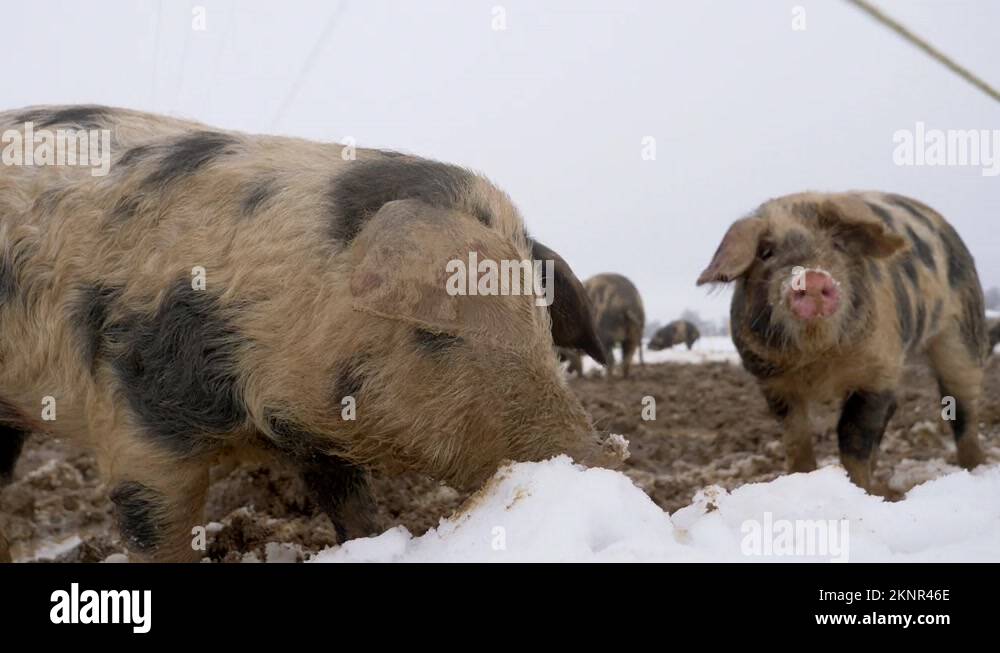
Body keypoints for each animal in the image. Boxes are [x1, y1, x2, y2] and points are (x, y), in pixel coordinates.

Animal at [0, 105, 616, 561]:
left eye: (540, 326)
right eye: (434, 332)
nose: (599, 451)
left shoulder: (320, 439)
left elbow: (354, 508)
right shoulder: (139, 414)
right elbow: (158, 524)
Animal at [698, 192, 990, 492]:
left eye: (837, 245)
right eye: (766, 253)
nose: (812, 276)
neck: (818, 361)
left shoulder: (878, 370)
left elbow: (853, 436)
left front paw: (862, 490)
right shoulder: (772, 383)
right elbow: (796, 437)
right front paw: (803, 477)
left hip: (962, 332)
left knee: (963, 408)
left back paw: (977, 469)